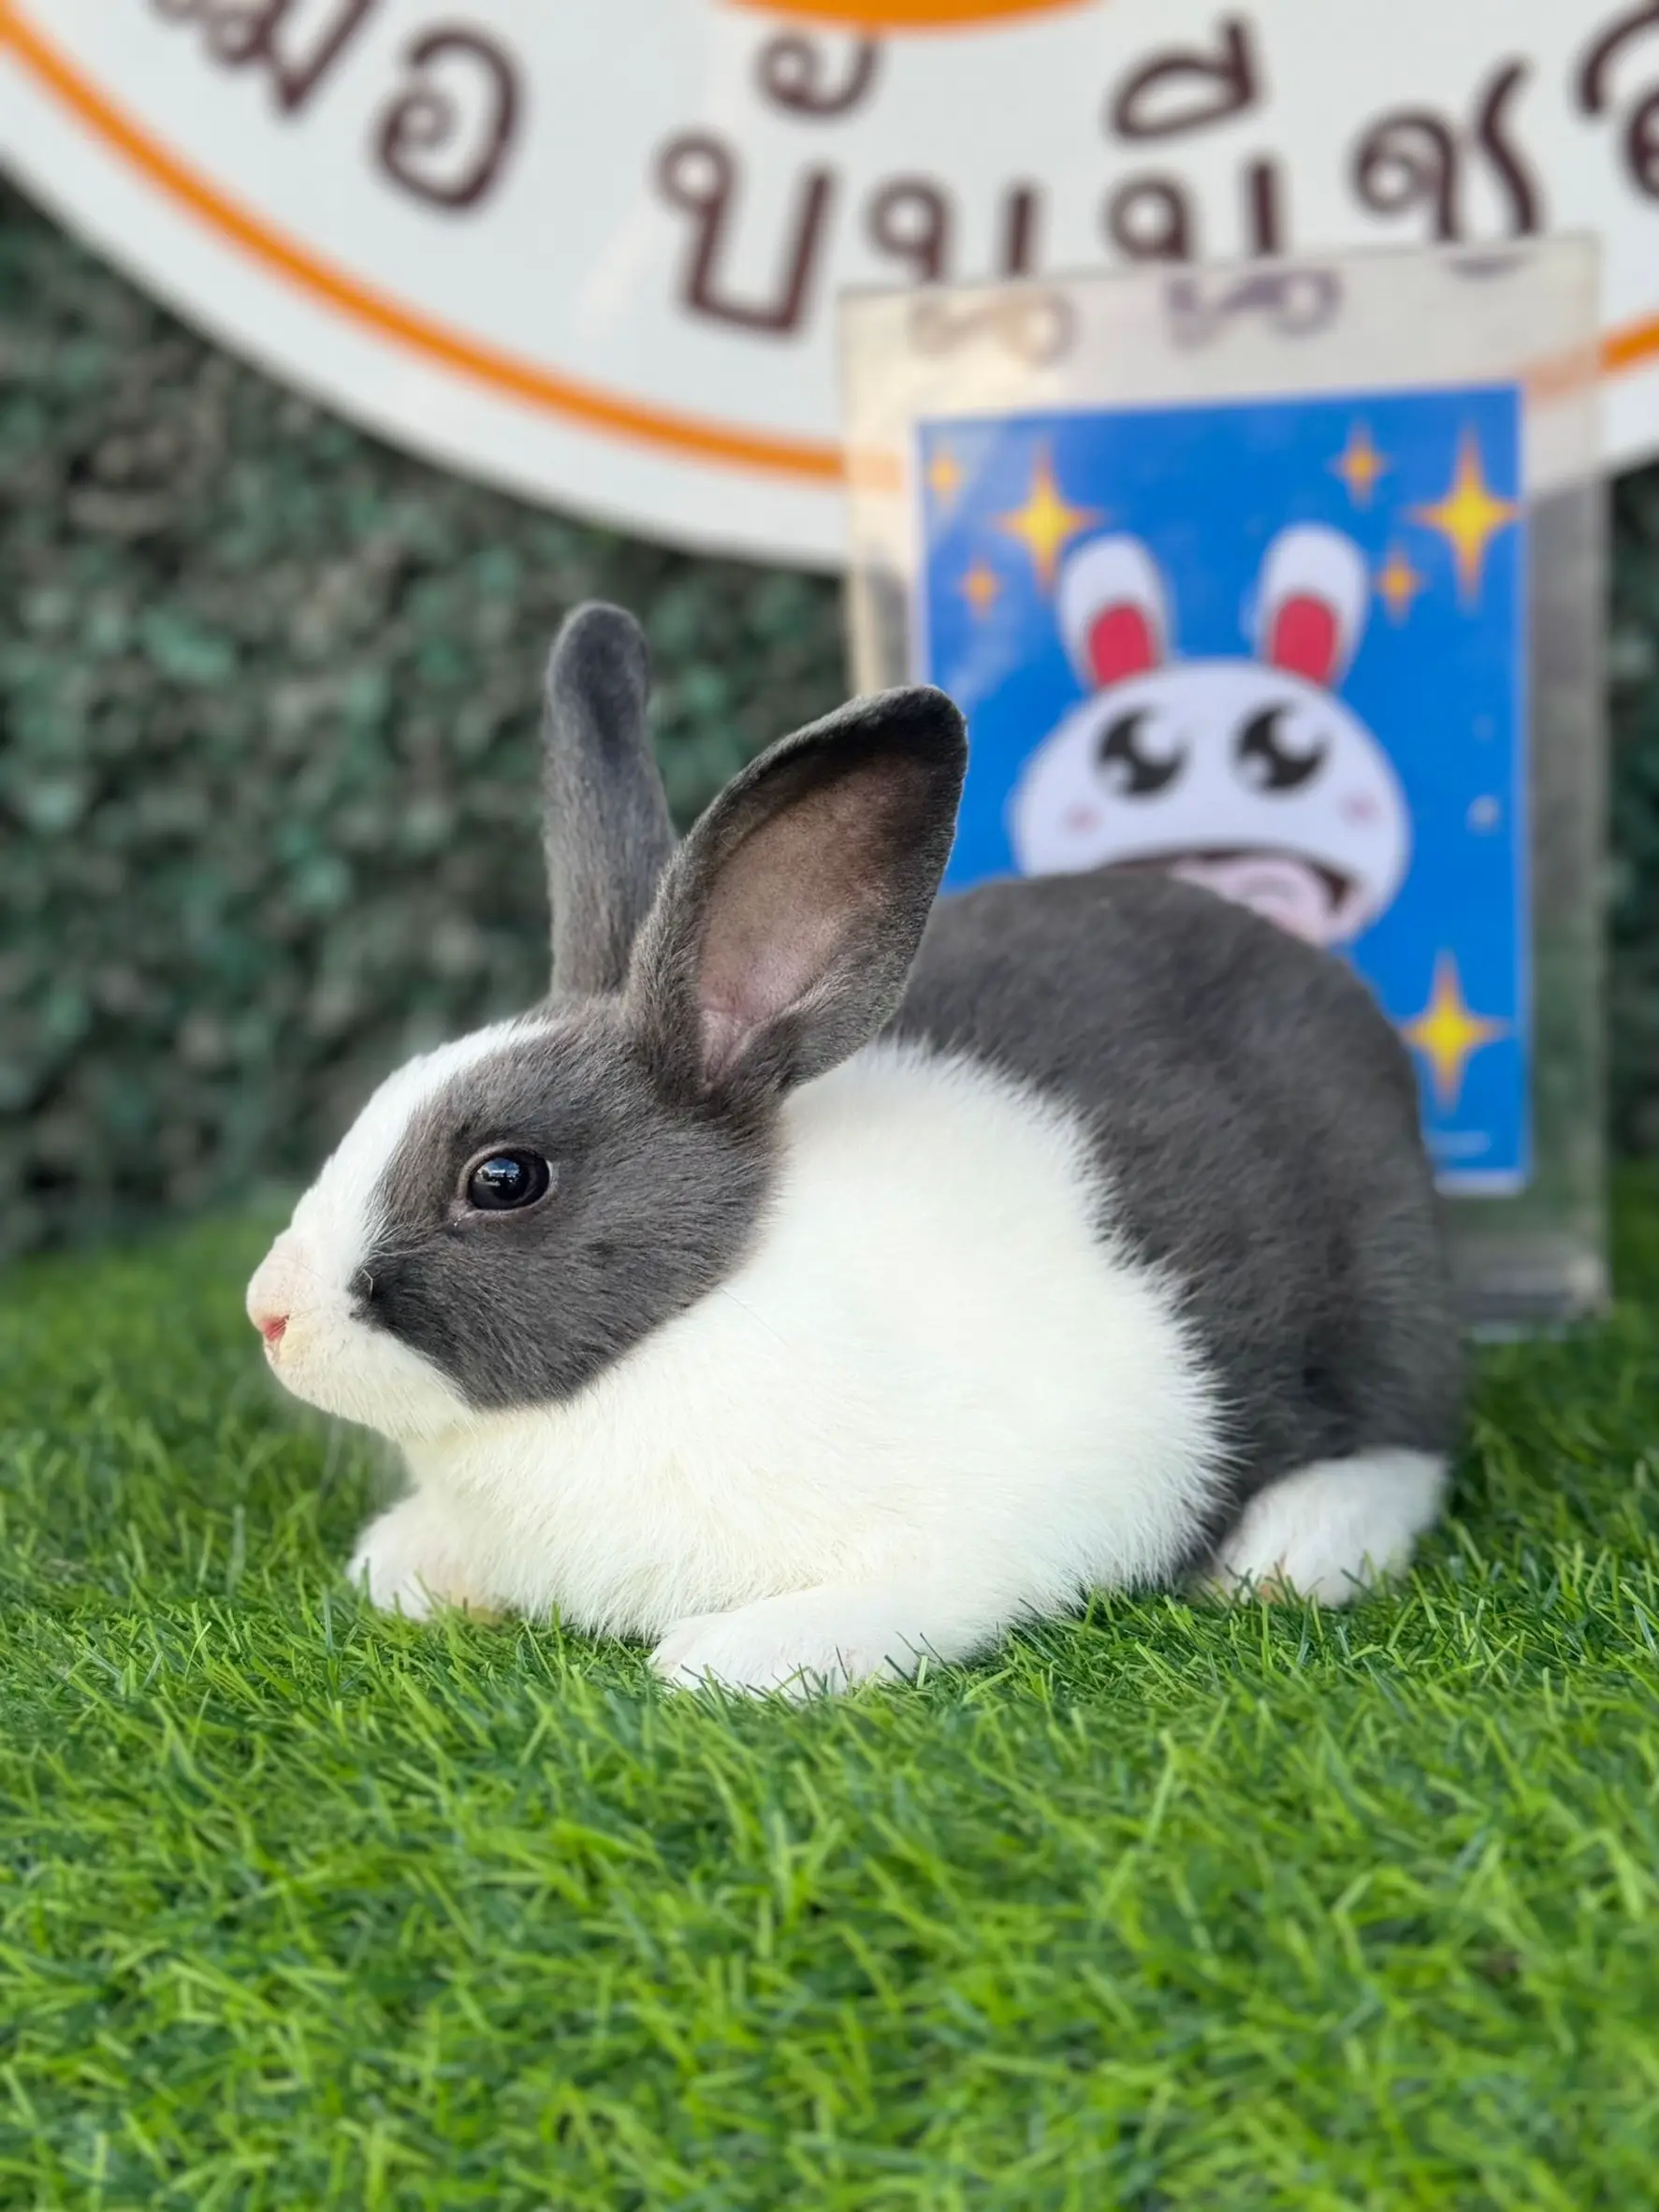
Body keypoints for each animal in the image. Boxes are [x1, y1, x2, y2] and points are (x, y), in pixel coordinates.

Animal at [245, 600, 1461, 1695]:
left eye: (504, 1178)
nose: (271, 1314)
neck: (697, 1317)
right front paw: (405, 1559)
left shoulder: (1012, 1520)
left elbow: (921, 1595)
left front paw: (735, 1658)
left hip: (1384, 1282)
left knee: (1410, 1435)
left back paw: (1295, 1548)